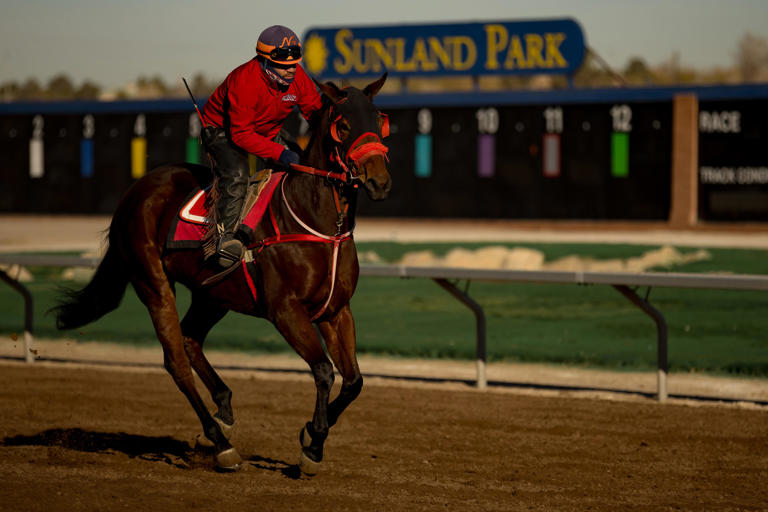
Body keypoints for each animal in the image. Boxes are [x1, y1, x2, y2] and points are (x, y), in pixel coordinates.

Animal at [52, 73, 392, 474]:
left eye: (380, 119)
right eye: (344, 125)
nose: (379, 181)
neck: (317, 222)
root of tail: (136, 190)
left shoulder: (335, 310)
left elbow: (354, 380)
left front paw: (310, 434)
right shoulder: (286, 311)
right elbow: (324, 370)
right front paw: (312, 447)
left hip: (213, 293)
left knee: (190, 339)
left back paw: (223, 412)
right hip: (152, 281)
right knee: (176, 361)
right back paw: (221, 442)